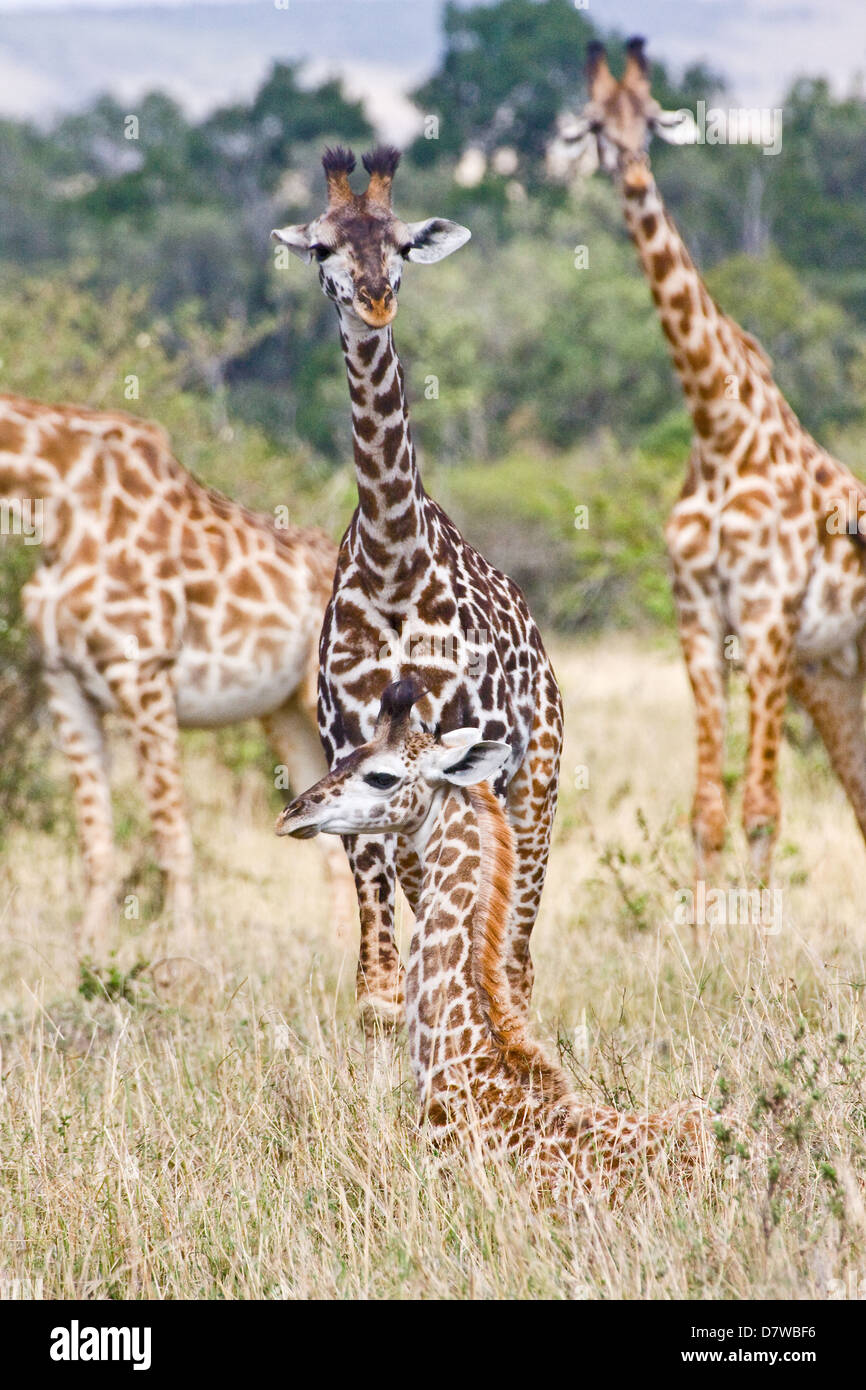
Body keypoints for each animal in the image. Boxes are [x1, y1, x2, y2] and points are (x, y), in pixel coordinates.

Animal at [0, 392, 350, 949]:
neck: (58, 504)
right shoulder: (63, 684)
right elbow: (95, 841)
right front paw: (89, 949)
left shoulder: (142, 672)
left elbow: (171, 834)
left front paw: (182, 950)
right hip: (287, 713)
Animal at [272, 147, 563, 1028]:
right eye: (321, 246)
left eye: (401, 242)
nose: (375, 299)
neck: (394, 561)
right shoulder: (351, 751)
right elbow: (377, 987)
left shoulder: (464, 754)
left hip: (539, 779)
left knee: (520, 946)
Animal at [548, 37, 866, 883]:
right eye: (597, 124)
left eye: (653, 118)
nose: (631, 177)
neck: (719, 429)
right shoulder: (700, 621)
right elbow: (706, 816)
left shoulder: (765, 619)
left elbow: (760, 811)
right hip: (836, 672)